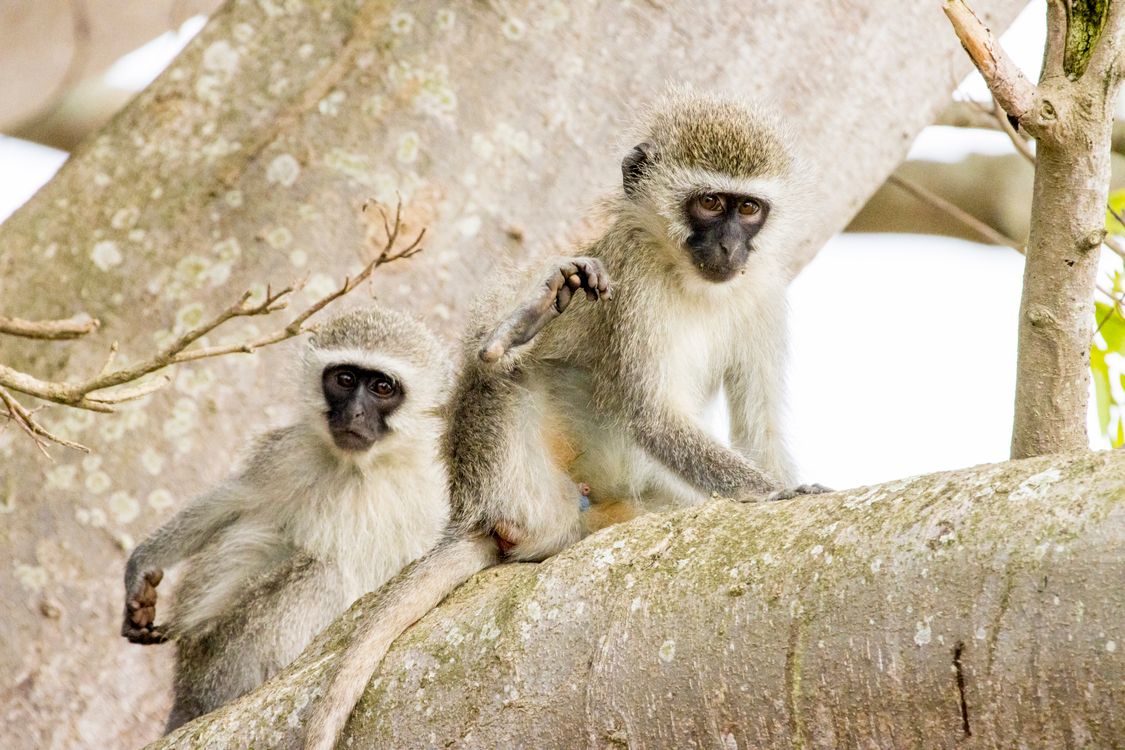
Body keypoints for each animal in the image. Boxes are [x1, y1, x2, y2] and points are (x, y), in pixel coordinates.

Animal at [121, 305, 451, 733]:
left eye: (382, 387)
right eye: (345, 379)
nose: (354, 413)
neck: (362, 469)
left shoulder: (436, 483)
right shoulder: (287, 456)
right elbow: (236, 498)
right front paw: (142, 565)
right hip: (223, 662)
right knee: (321, 572)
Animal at [303, 87, 828, 749]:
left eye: (749, 208)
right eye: (710, 203)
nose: (732, 247)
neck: (688, 277)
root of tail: (477, 510)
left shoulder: (761, 291)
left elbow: (760, 428)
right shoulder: (632, 280)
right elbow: (653, 415)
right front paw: (780, 493)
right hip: (522, 475)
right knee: (504, 378)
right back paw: (514, 336)